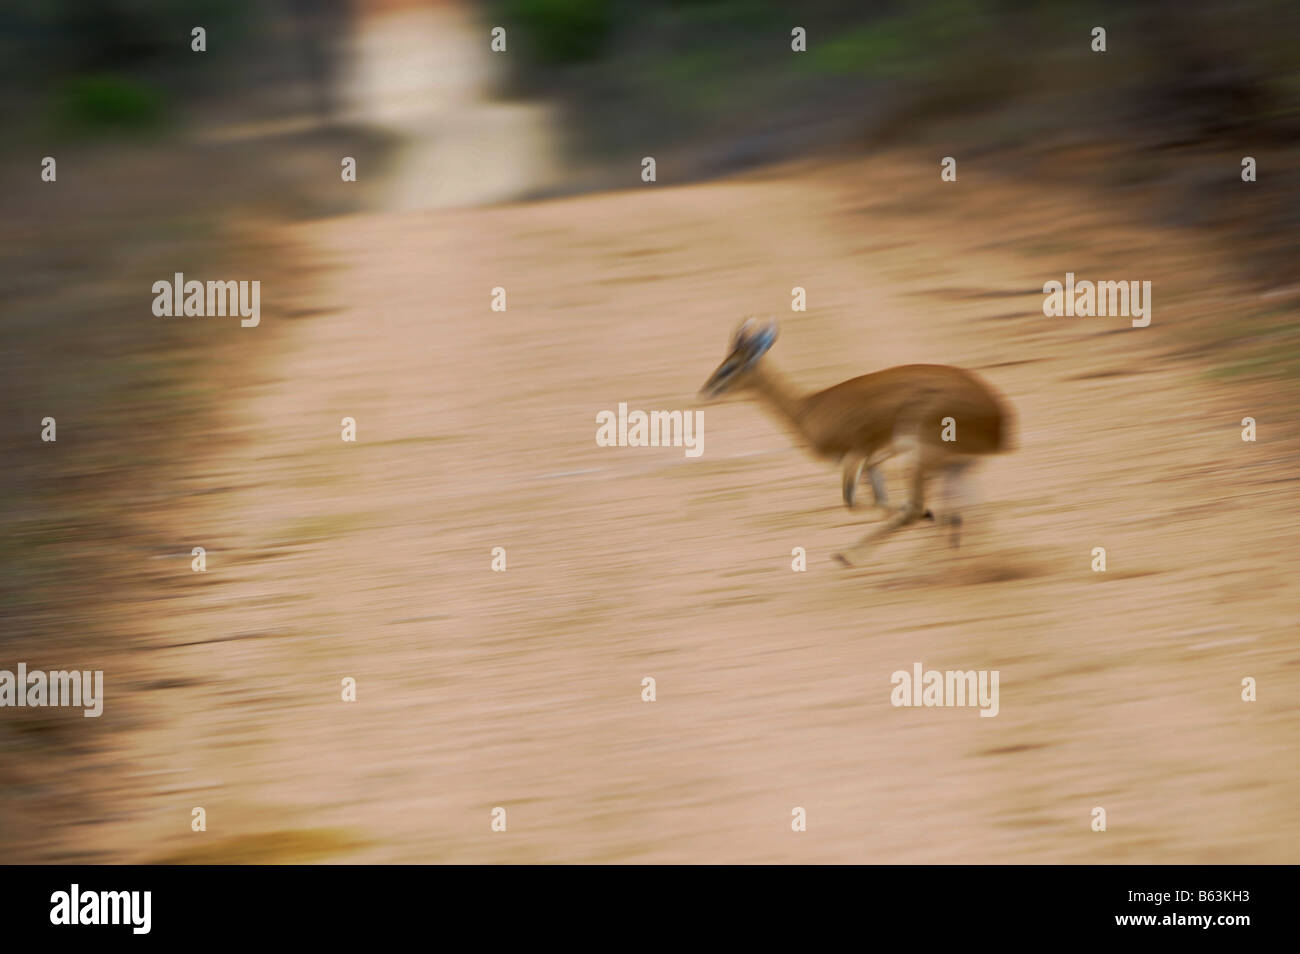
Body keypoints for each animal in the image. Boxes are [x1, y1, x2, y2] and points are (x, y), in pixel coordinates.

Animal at [698, 318, 1014, 566]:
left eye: (730, 366)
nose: (706, 390)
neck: (807, 411)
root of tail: (999, 421)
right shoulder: (872, 460)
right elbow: (879, 500)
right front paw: (931, 518)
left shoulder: (856, 454)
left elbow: (853, 502)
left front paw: (927, 516)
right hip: (957, 463)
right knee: (975, 511)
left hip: (921, 451)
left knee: (920, 507)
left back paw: (849, 556)